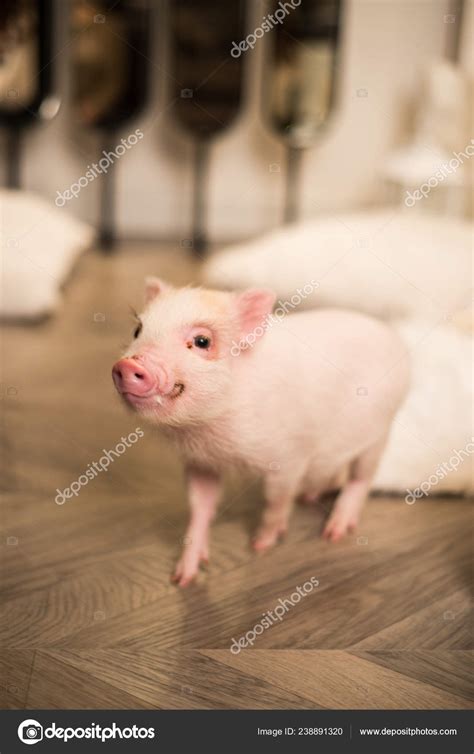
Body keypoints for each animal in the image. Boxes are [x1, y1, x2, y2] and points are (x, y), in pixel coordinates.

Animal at [112, 277, 410, 586]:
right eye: (137, 330)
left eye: (202, 341)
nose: (127, 365)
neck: (211, 432)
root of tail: (397, 342)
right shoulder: (201, 462)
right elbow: (200, 506)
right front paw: (183, 578)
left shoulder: (289, 457)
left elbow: (275, 500)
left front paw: (260, 545)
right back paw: (308, 498)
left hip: (381, 430)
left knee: (362, 478)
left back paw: (334, 532)